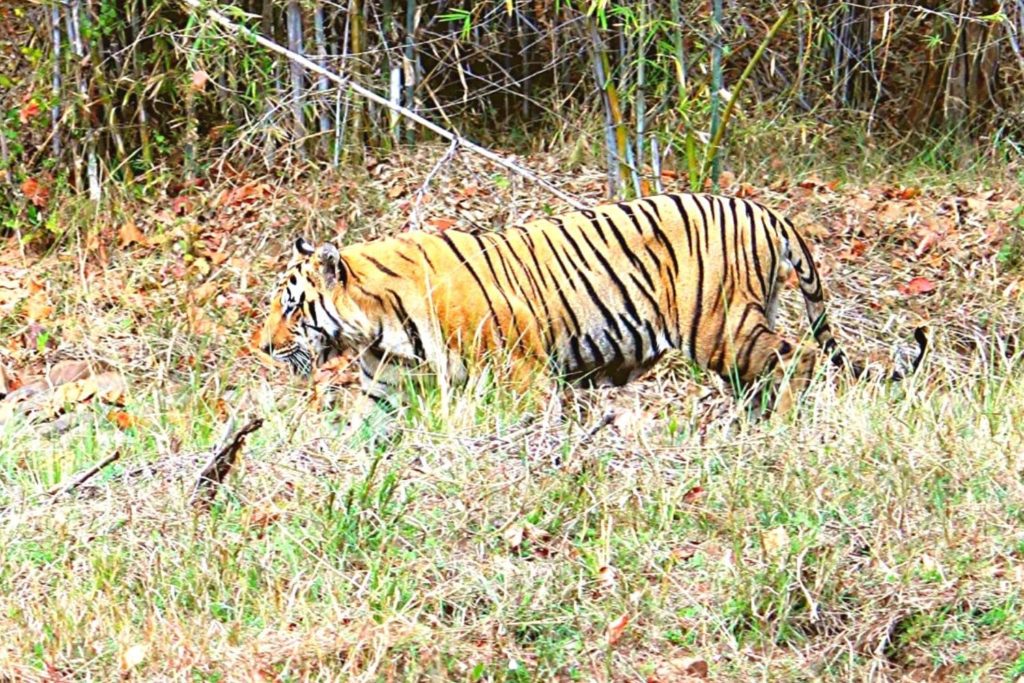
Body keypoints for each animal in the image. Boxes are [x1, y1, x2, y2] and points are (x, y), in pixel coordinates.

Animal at [257, 192, 927, 416]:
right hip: (739, 335)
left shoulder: (520, 372)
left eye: (290, 309)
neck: (380, 325)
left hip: (723, 327)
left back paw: (780, 426)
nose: (261, 347)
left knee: (801, 361)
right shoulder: (385, 387)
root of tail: (767, 210)